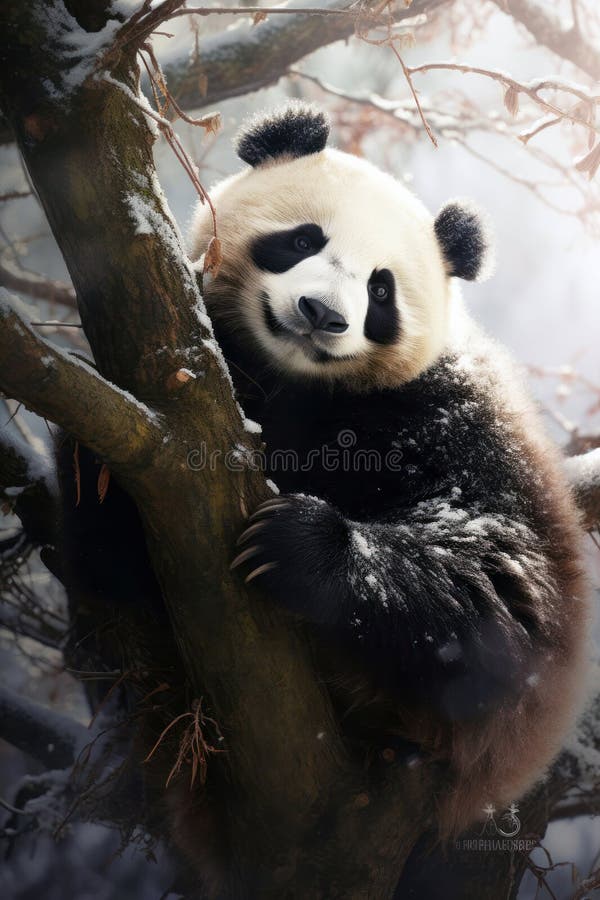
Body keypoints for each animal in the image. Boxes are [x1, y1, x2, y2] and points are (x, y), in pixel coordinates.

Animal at [190, 102, 591, 836]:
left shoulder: (449, 415)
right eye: (301, 240)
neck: (298, 383)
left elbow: (499, 598)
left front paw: (296, 543)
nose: (321, 314)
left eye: (381, 290)